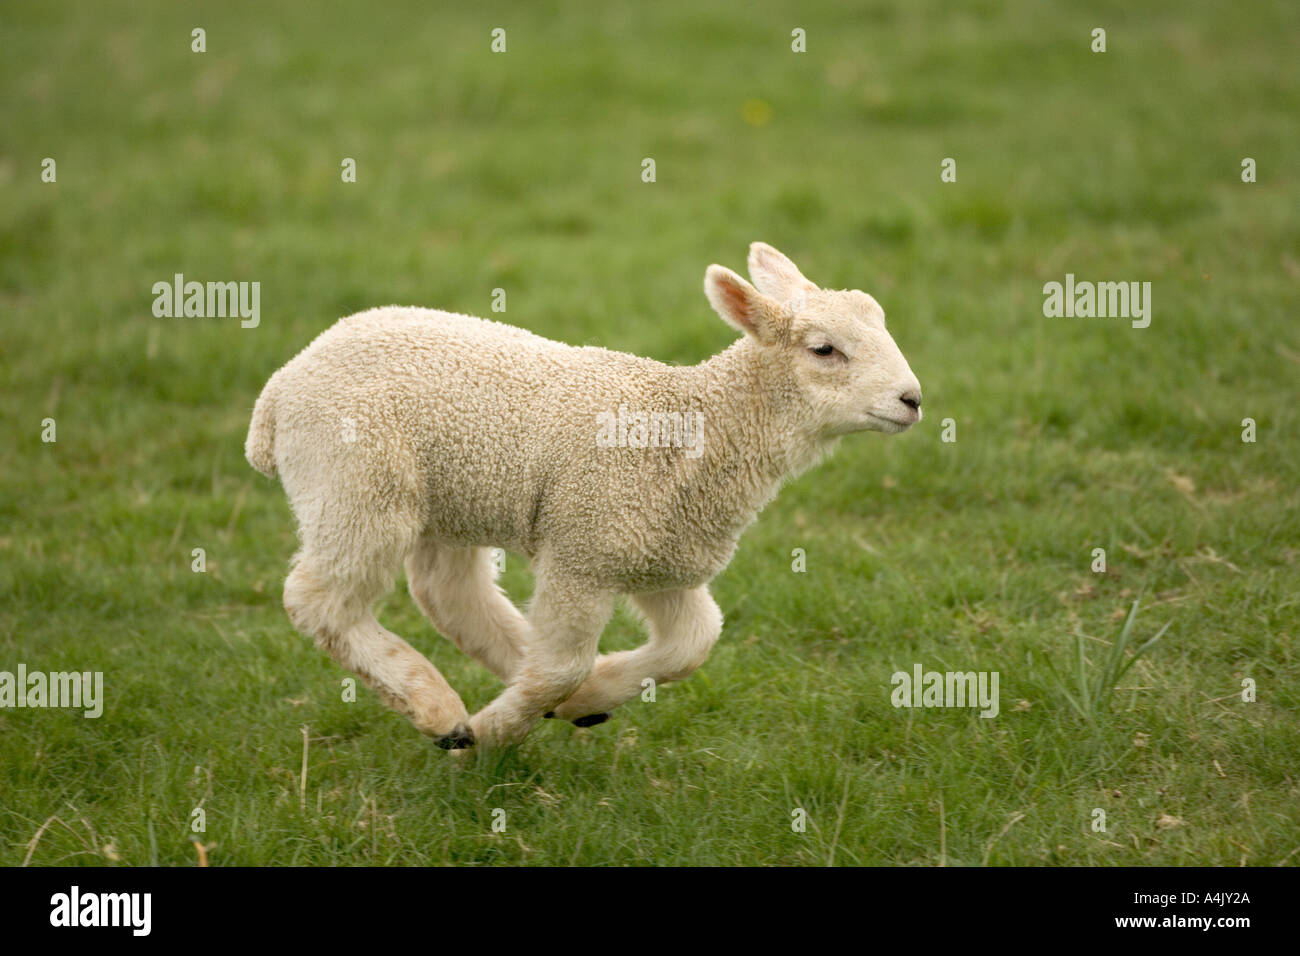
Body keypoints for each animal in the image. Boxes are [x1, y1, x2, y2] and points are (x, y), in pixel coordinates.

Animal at [245, 243, 922, 749]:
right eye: (823, 350)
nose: (913, 399)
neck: (692, 427)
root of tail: (276, 392)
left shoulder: (662, 559)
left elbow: (693, 644)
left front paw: (590, 697)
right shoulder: (585, 549)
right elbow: (563, 666)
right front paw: (495, 732)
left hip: (450, 499)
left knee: (448, 592)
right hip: (356, 485)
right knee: (320, 599)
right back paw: (442, 712)